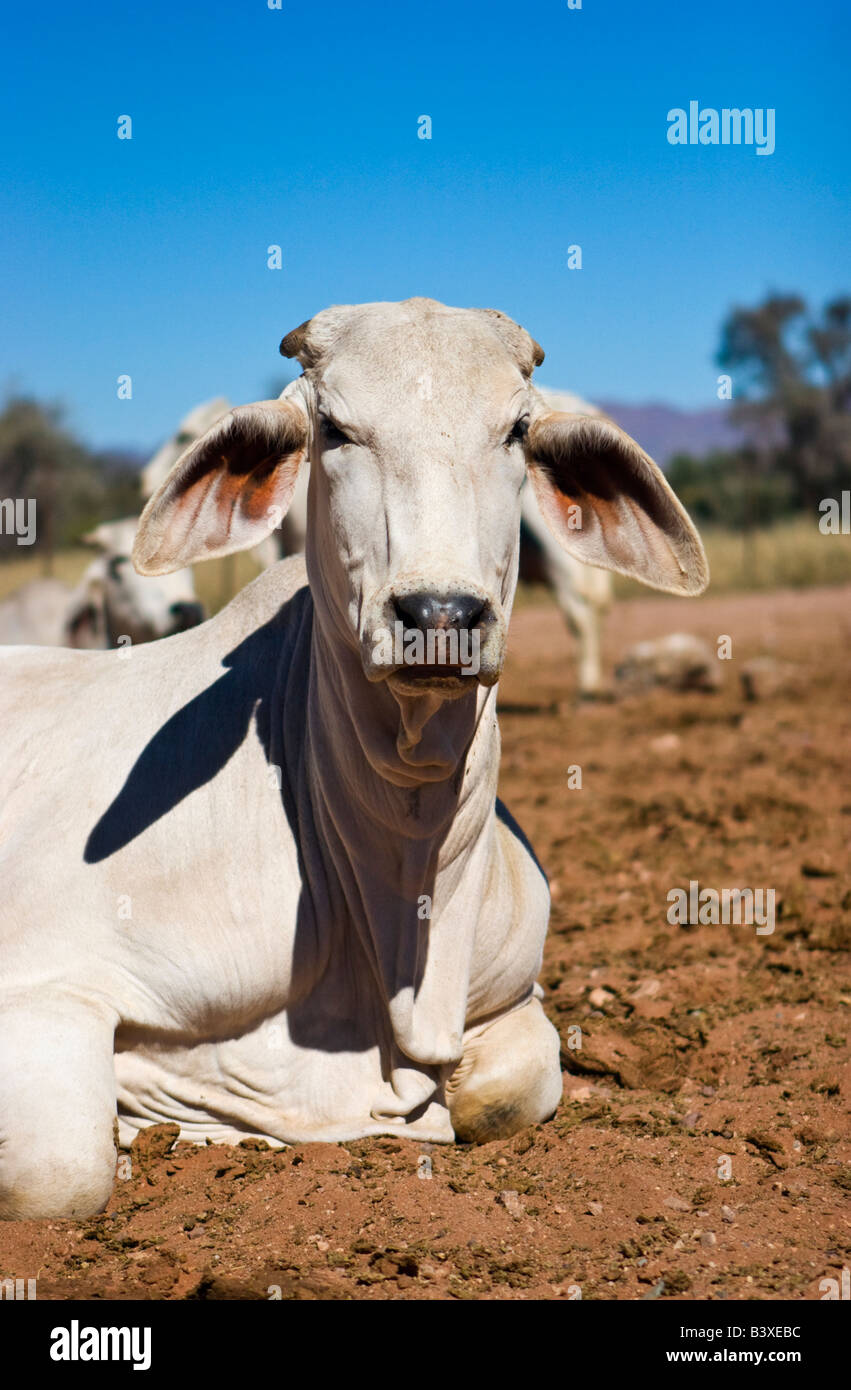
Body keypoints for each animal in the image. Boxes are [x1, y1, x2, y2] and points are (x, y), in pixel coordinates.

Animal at [0, 298, 708, 1219]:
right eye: (333, 429)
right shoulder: (45, 984)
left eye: (517, 429)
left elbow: (512, 1089)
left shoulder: (511, 996)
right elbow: (59, 1174)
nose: (440, 614)